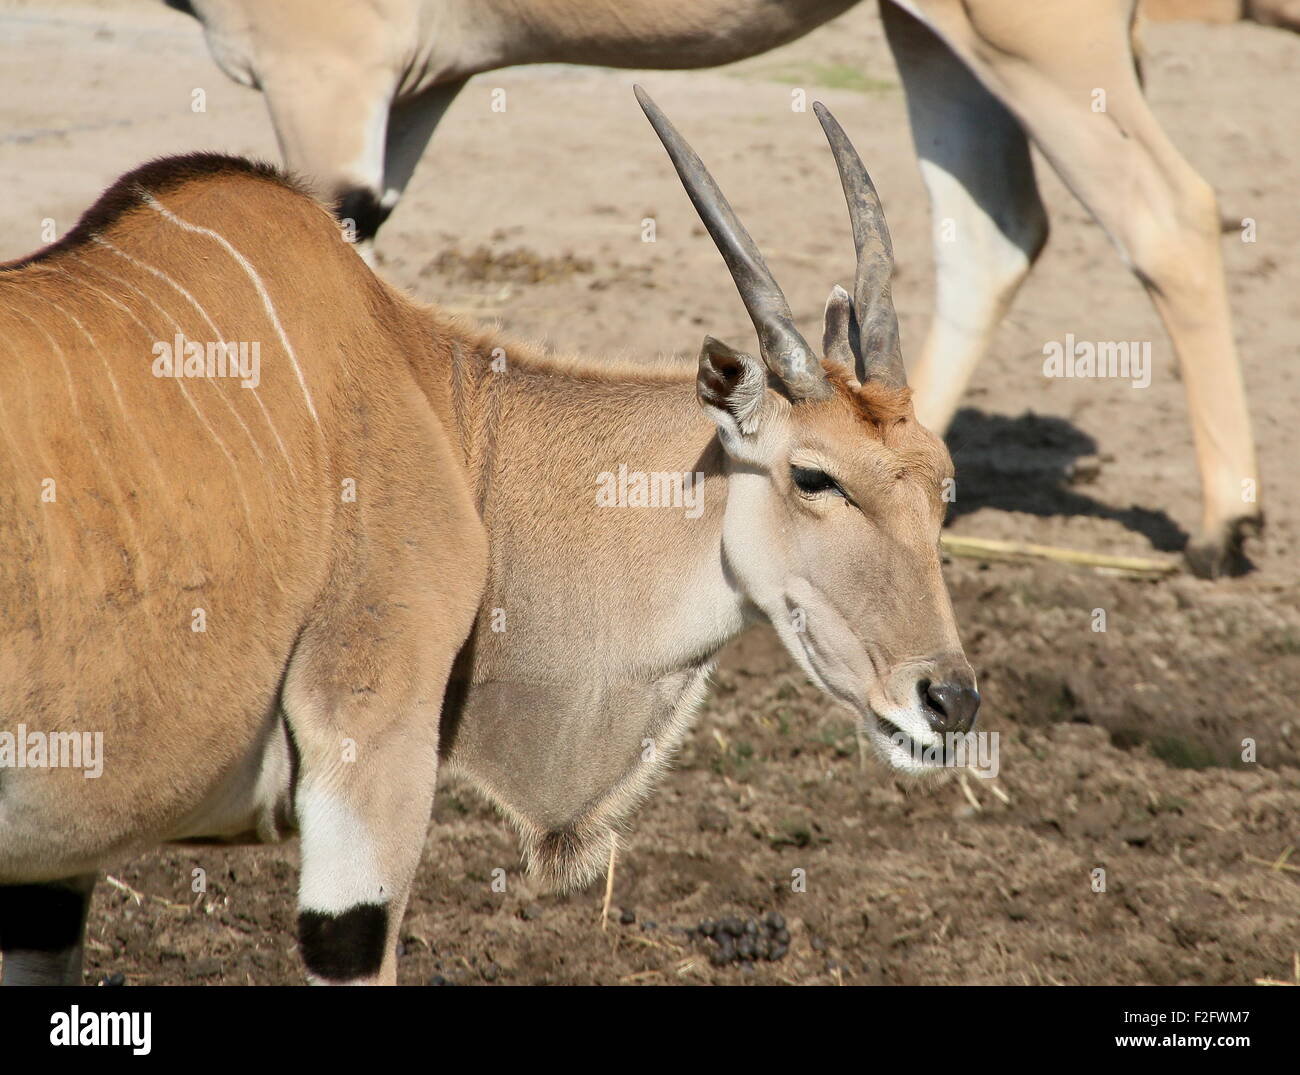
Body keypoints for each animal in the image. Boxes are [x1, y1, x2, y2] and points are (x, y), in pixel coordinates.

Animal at [0, 90, 977, 985]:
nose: (949, 701)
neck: (450, 410)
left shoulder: (51, 867)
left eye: (942, 480)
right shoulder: (368, 777)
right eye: (813, 475)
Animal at [165, 0, 1263, 578]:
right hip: (930, 32)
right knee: (994, 230)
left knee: (1167, 212)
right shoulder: (418, 90)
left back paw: (1227, 525)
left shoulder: (330, 73)